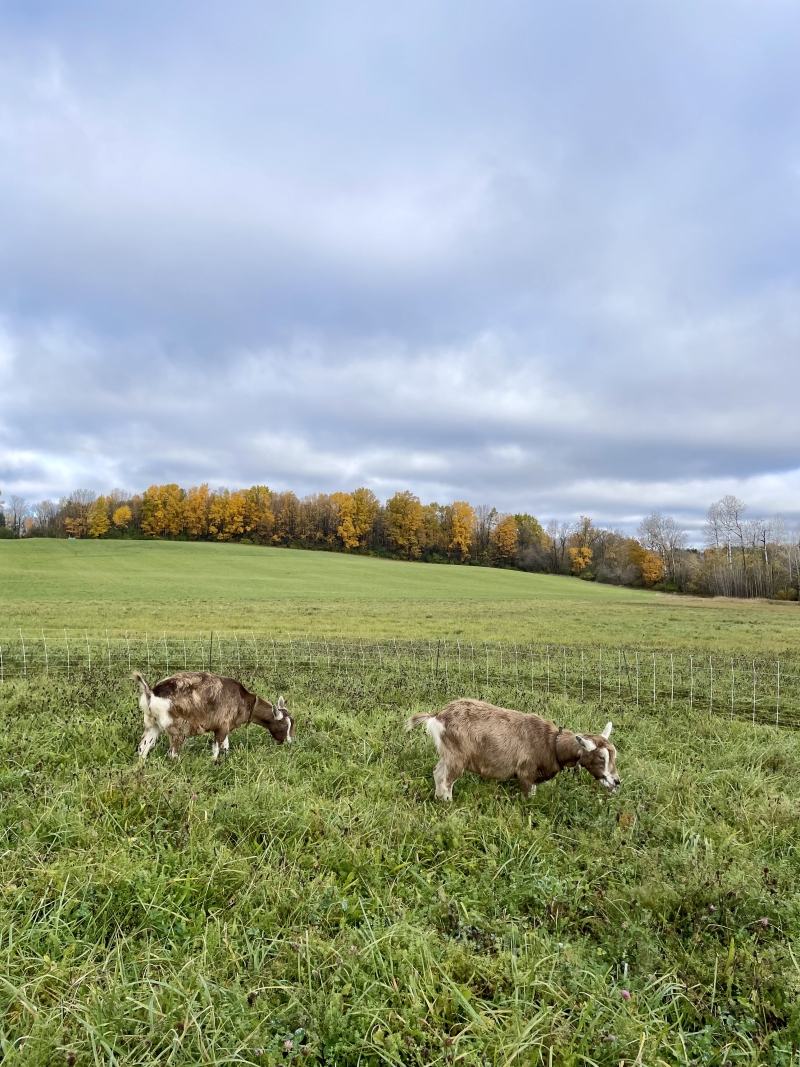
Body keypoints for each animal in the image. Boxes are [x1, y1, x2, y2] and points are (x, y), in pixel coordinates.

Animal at [134, 671, 294, 761]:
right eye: (284, 725)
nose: (290, 742)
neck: (245, 701)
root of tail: (151, 693)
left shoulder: (225, 726)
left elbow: (225, 746)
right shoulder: (222, 726)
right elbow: (217, 748)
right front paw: (214, 762)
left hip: (152, 724)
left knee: (143, 747)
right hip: (177, 728)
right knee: (172, 753)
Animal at [406, 698, 619, 800]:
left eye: (614, 755)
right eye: (601, 757)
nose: (616, 781)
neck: (552, 743)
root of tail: (438, 715)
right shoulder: (525, 774)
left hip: (447, 755)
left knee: (437, 773)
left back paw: (438, 799)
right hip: (456, 757)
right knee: (446, 780)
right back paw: (448, 803)